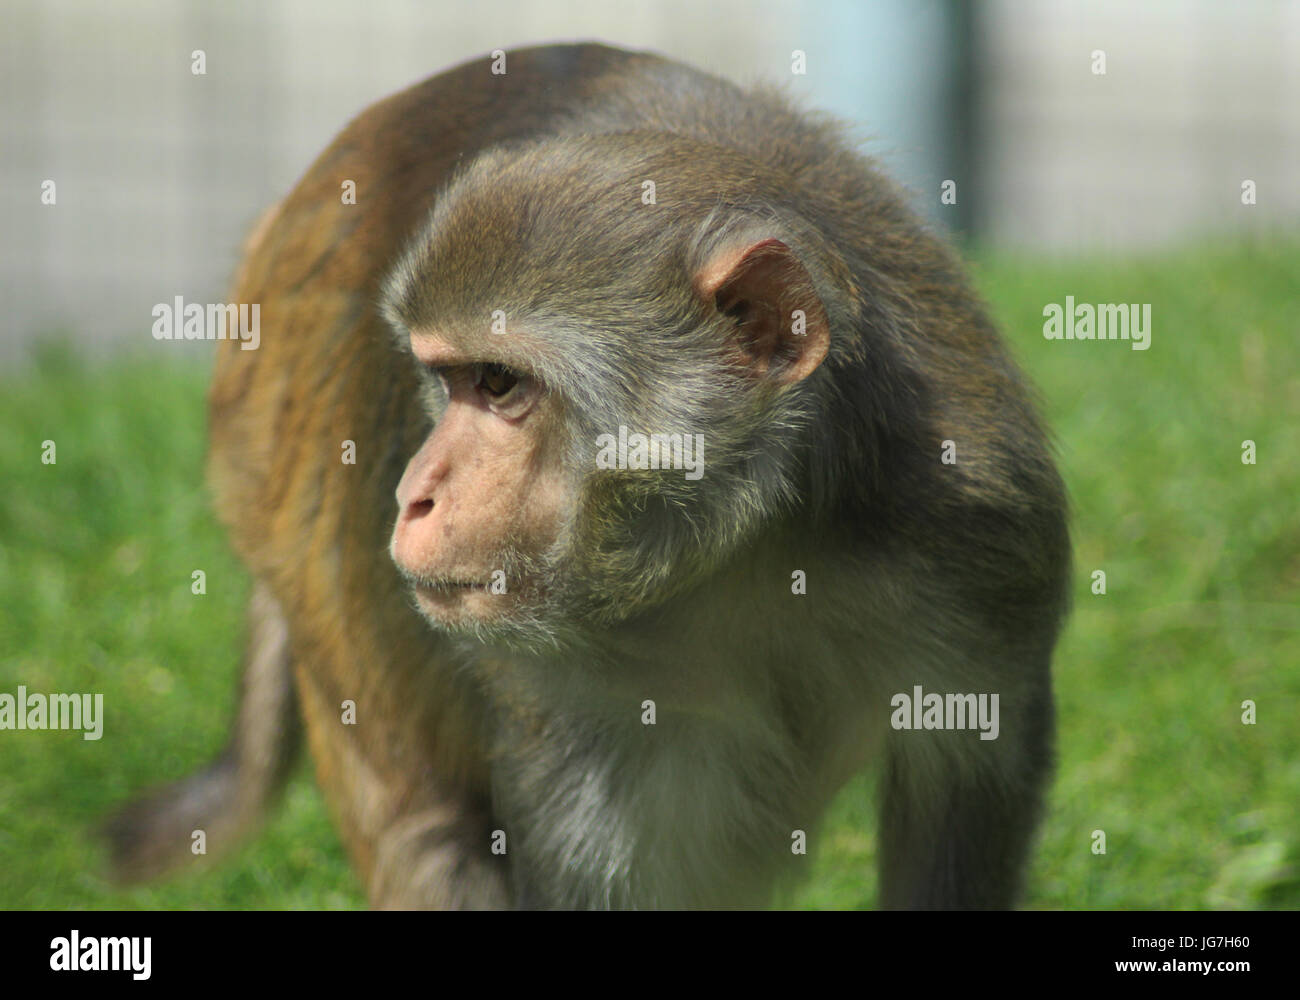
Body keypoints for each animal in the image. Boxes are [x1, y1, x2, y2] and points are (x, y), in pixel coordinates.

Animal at [104, 42, 1070, 909]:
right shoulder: (568, 697)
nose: (413, 495)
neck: (748, 545)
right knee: (423, 819)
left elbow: (964, 796)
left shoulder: (981, 538)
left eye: (500, 385)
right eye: (444, 380)